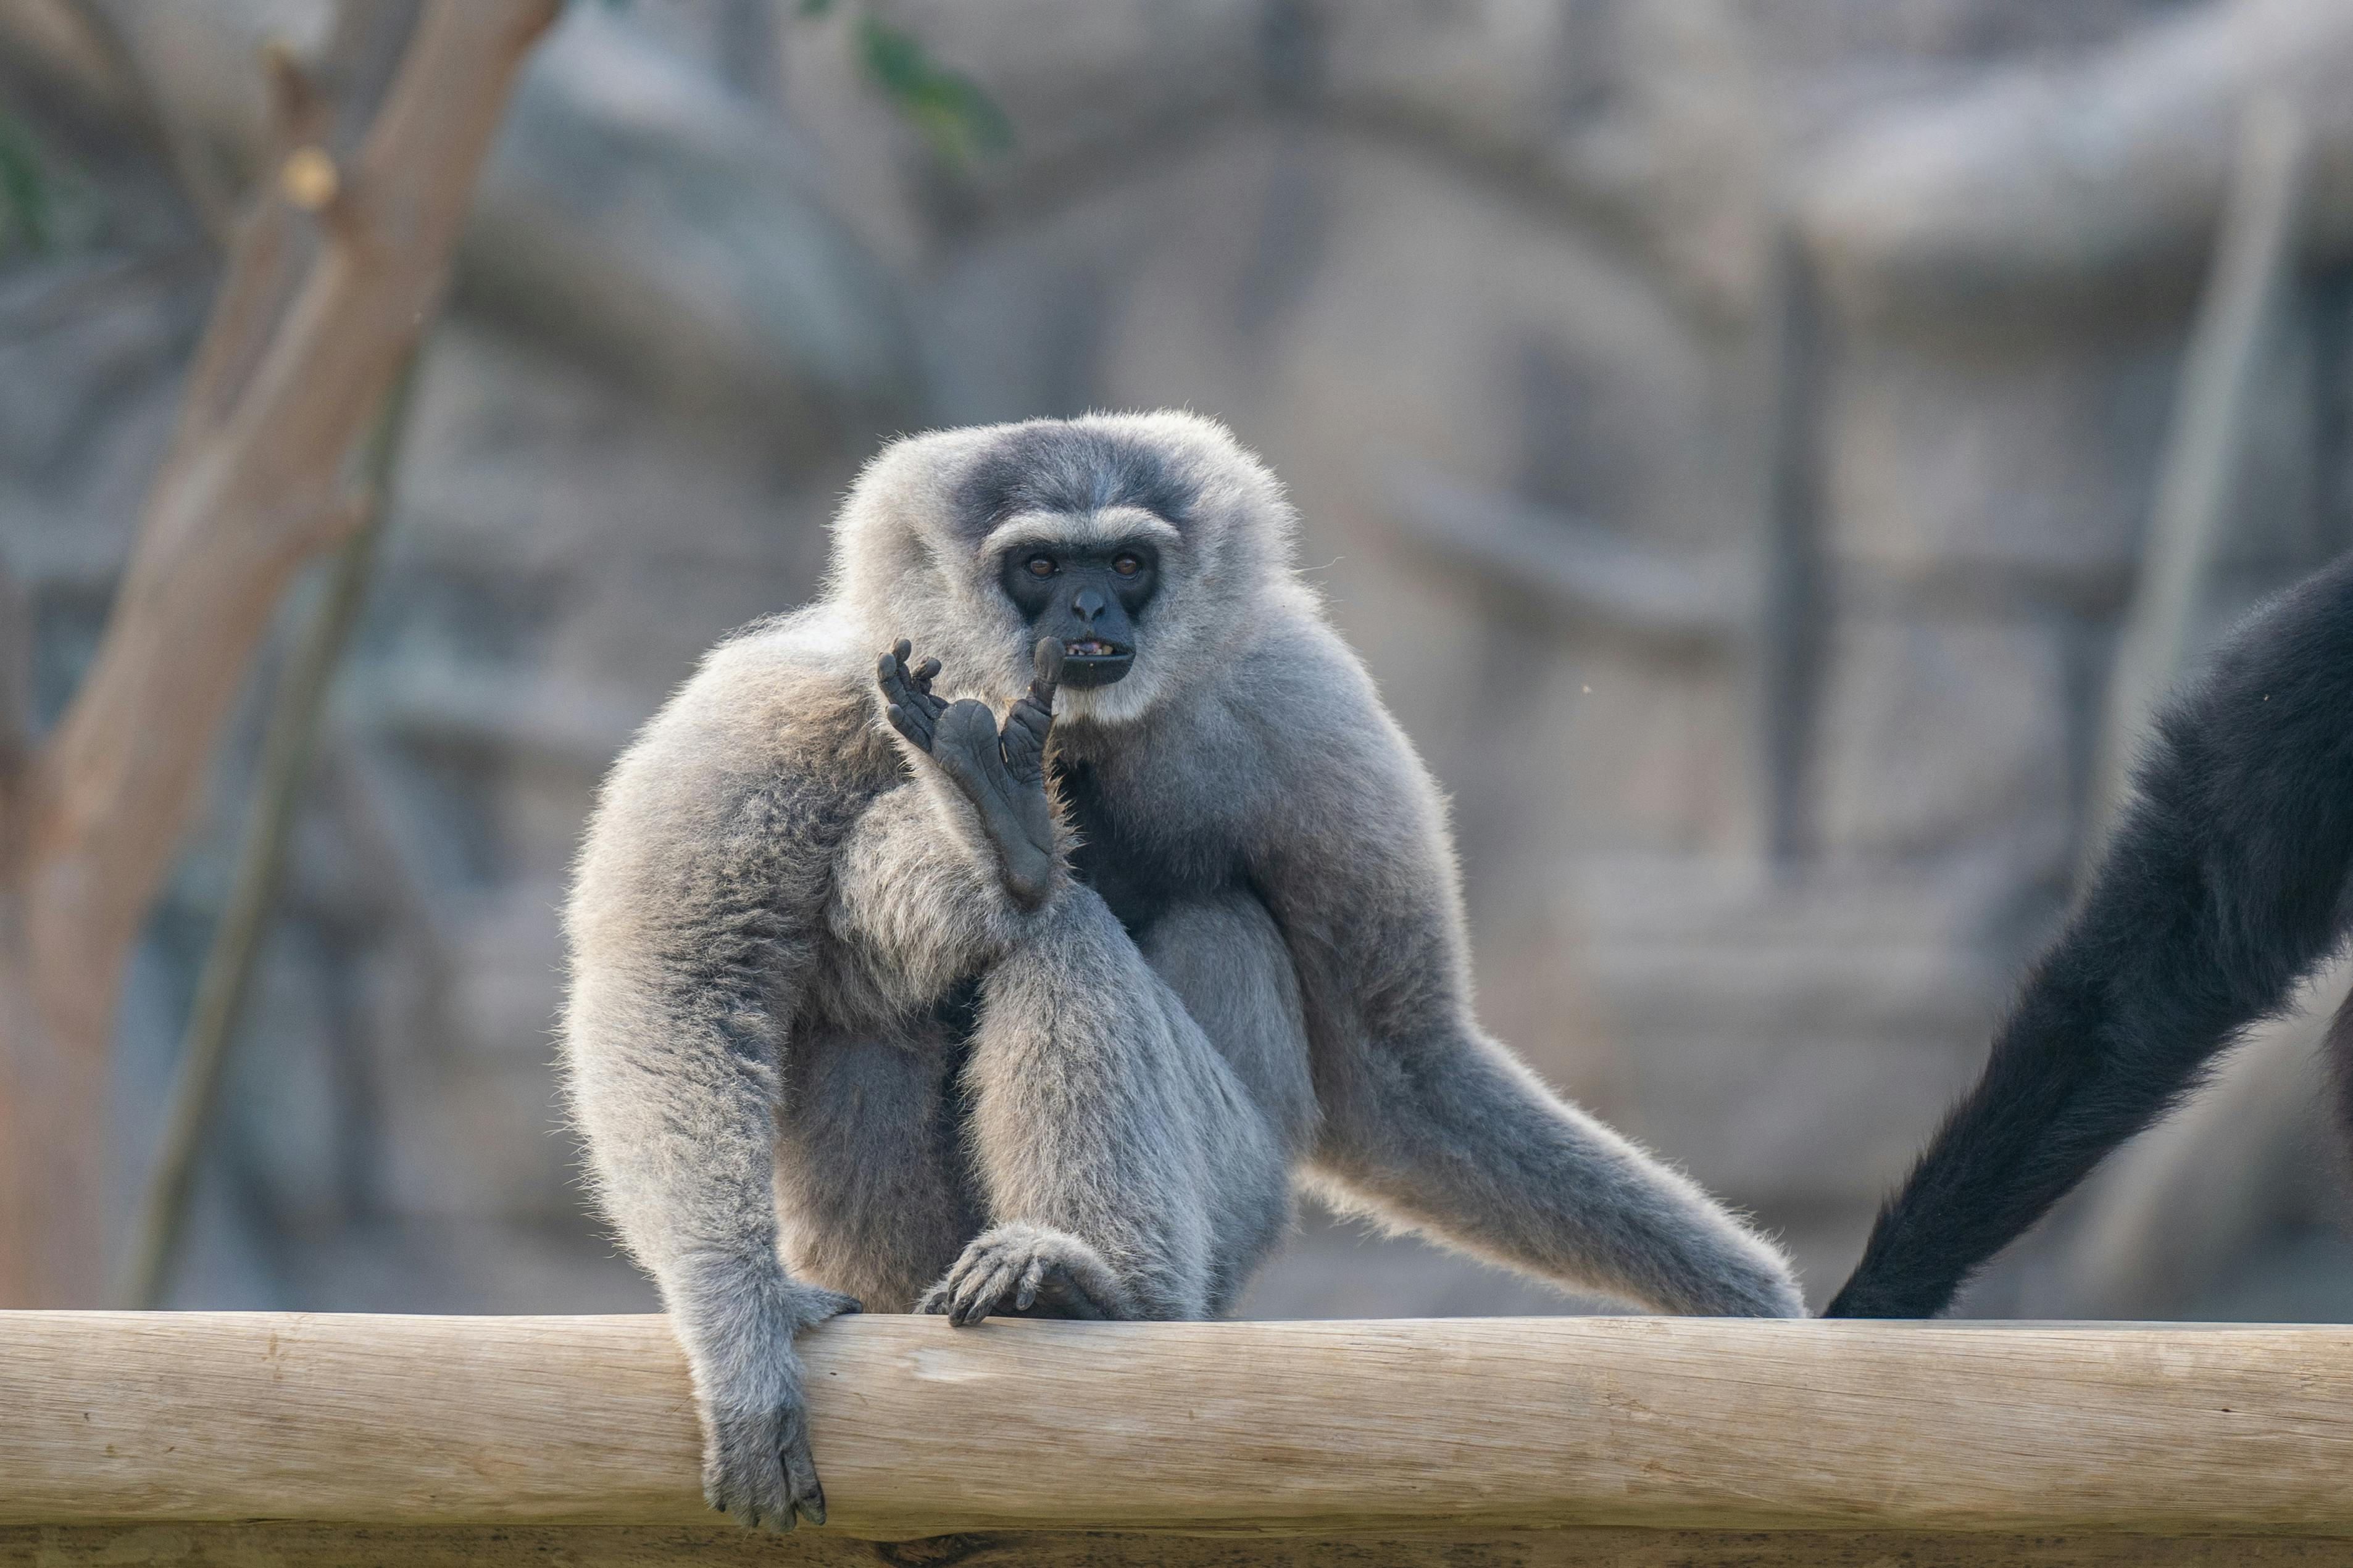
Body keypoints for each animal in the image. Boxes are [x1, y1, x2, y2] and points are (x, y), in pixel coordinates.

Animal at [560, 412, 1803, 1532]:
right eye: (1042, 566)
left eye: (1125, 563)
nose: (1090, 612)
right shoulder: (788, 696)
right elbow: (679, 984)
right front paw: (742, 1336)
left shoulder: (1302, 703)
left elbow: (1399, 1064)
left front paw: (1750, 1300)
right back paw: (1006, 851)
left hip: (1238, 1209)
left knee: (1140, 927)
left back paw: (1091, 1277)